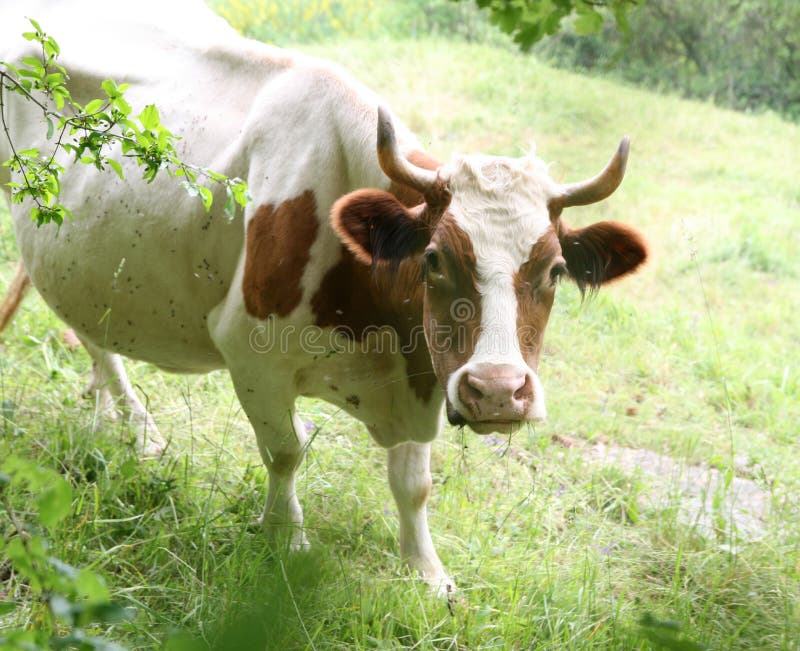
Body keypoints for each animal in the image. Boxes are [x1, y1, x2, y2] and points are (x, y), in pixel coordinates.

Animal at [0, 0, 647, 593]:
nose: (495, 392)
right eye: (434, 260)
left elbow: (413, 483)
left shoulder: (423, 371)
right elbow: (286, 452)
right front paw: (286, 537)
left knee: (92, 331)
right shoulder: (251, 355)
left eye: (556, 270)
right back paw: (135, 423)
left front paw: (426, 570)